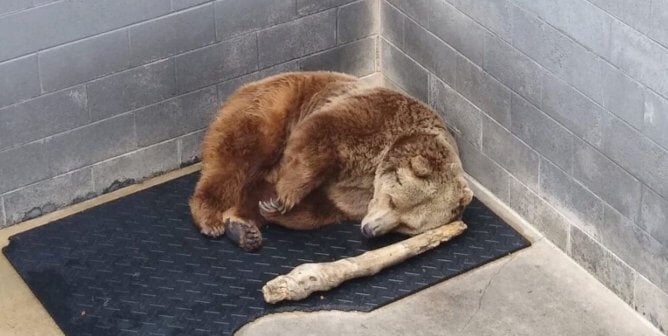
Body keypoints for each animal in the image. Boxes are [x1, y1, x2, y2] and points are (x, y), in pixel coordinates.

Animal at [187, 71, 474, 251]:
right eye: (393, 201)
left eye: (406, 226)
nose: (370, 230)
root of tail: (242, 87)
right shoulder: (377, 118)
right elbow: (320, 135)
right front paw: (284, 196)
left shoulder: (349, 199)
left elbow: (318, 209)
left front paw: (269, 207)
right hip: (269, 108)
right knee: (236, 160)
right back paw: (211, 218)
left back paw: (242, 229)